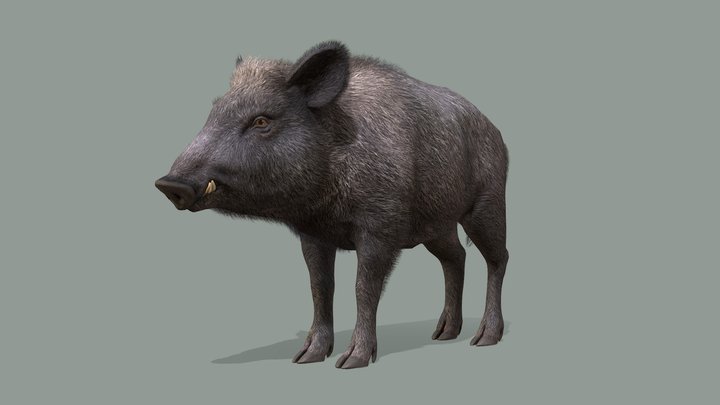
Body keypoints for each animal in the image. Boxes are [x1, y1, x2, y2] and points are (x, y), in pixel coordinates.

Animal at [155, 41, 509, 369]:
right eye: (214, 111)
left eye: (261, 121)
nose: (169, 184)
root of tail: (497, 132)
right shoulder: (312, 234)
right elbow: (321, 287)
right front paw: (305, 358)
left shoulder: (380, 225)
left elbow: (363, 287)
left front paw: (351, 361)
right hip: (436, 226)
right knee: (456, 257)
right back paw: (443, 334)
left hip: (488, 204)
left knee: (498, 258)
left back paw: (484, 338)